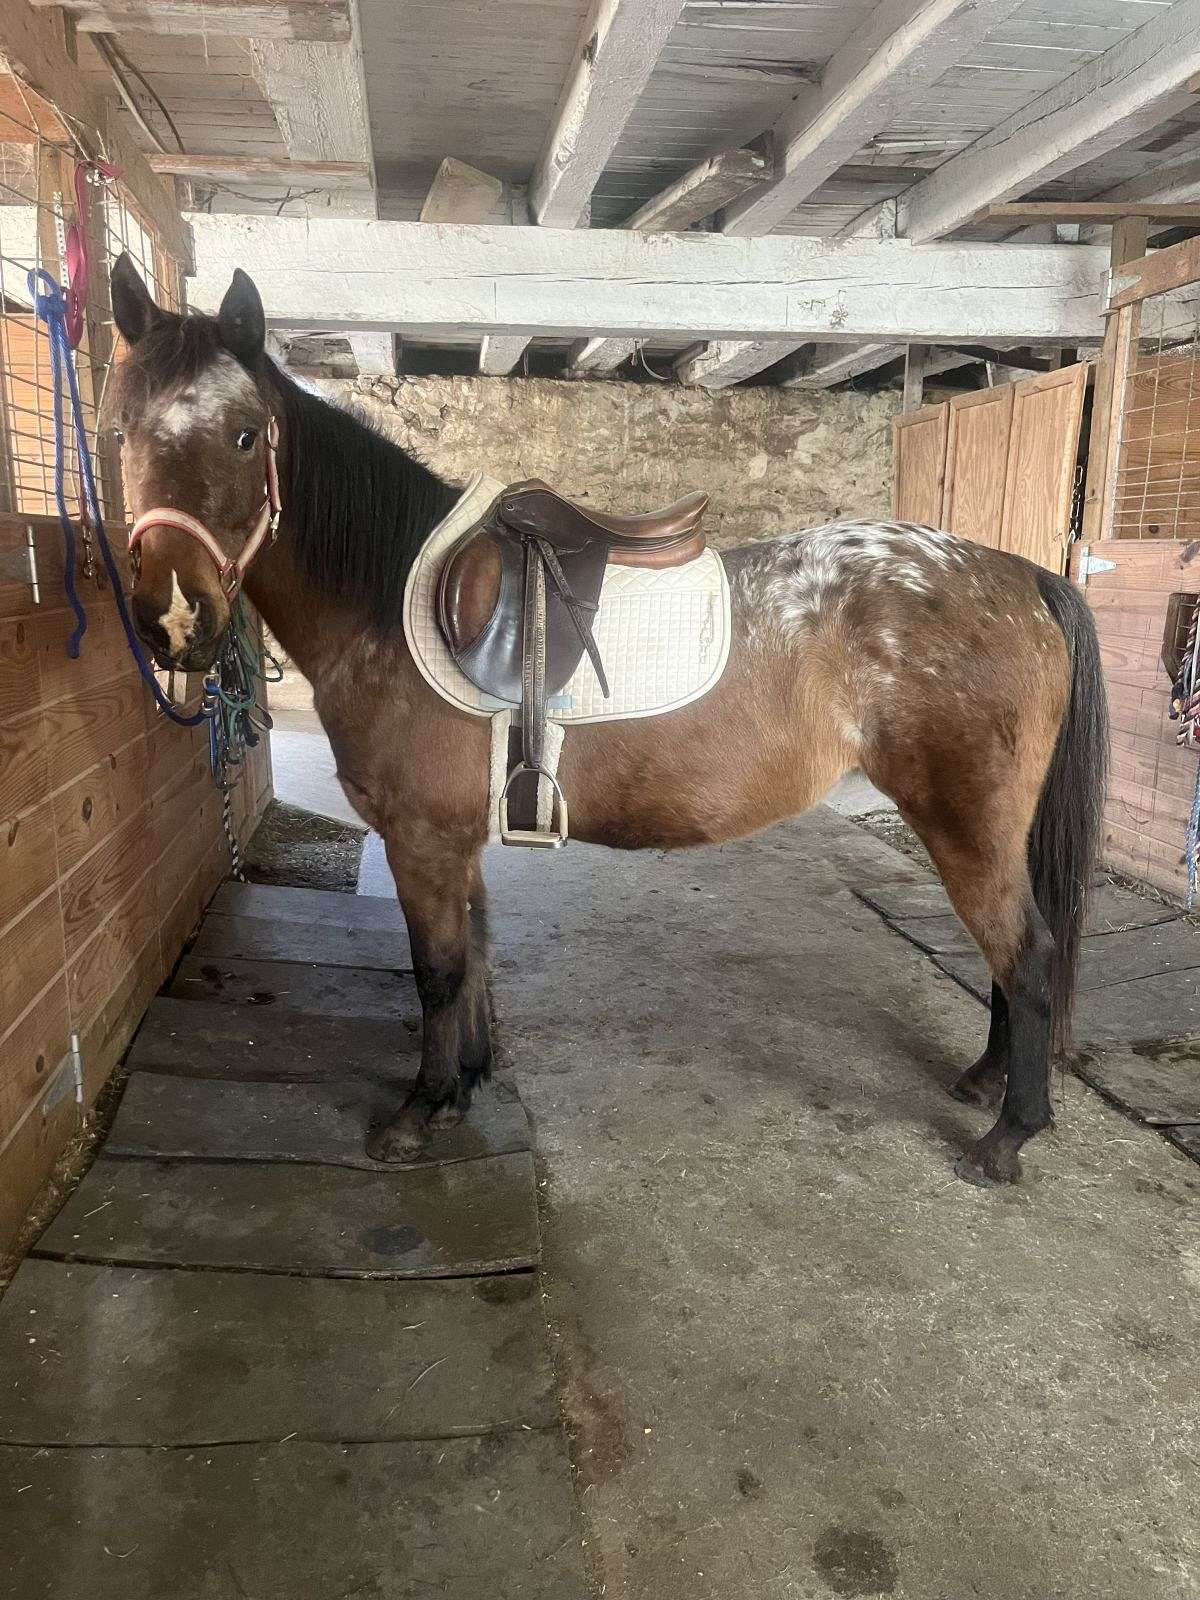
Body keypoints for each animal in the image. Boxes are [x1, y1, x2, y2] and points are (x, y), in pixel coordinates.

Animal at [107, 253, 1108, 1188]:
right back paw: (986, 1082)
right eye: (119, 427)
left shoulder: (420, 840)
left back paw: (1008, 1134)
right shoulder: (455, 843)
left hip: (967, 825)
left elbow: (437, 971)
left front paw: (420, 1110)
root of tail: (1021, 577)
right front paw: (468, 1083)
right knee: (1013, 957)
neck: (389, 602)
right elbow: (474, 958)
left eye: (244, 436)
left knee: (1025, 955)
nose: (175, 619)